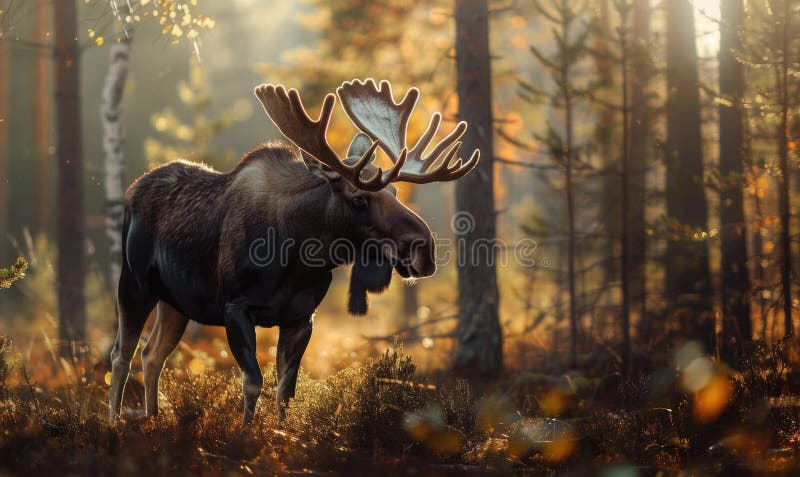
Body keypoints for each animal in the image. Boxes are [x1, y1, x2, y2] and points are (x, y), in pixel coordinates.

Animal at [108, 79, 479, 424]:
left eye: (396, 192)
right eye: (359, 197)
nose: (424, 248)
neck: (297, 256)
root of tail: (131, 190)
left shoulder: (301, 317)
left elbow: (286, 390)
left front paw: (283, 435)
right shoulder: (234, 307)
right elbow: (253, 382)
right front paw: (246, 433)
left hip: (176, 301)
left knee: (152, 354)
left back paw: (154, 418)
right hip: (133, 285)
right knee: (121, 354)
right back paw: (114, 423)